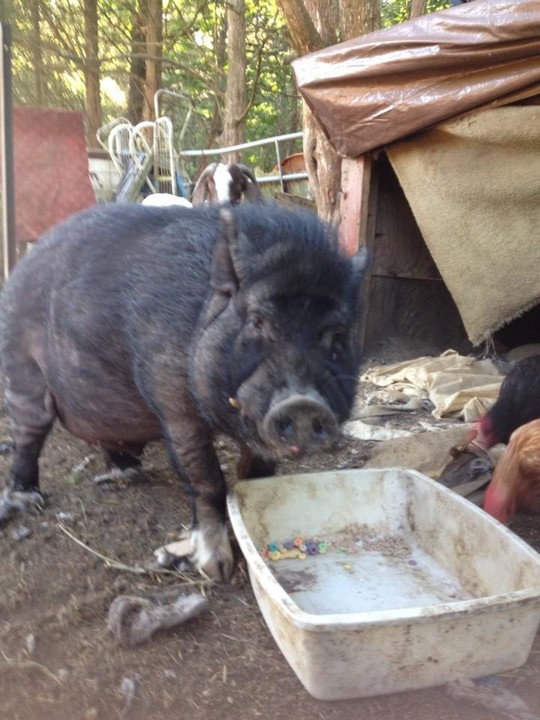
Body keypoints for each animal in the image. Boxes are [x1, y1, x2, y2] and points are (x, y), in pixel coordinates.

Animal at [0, 202, 364, 581]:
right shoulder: (175, 407)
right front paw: (215, 570)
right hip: (20, 369)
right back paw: (25, 501)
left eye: (337, 336)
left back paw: (126, 474)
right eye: (257, 321)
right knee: (28, 435)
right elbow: (206, 479)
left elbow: (256, 472)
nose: (303, 403)